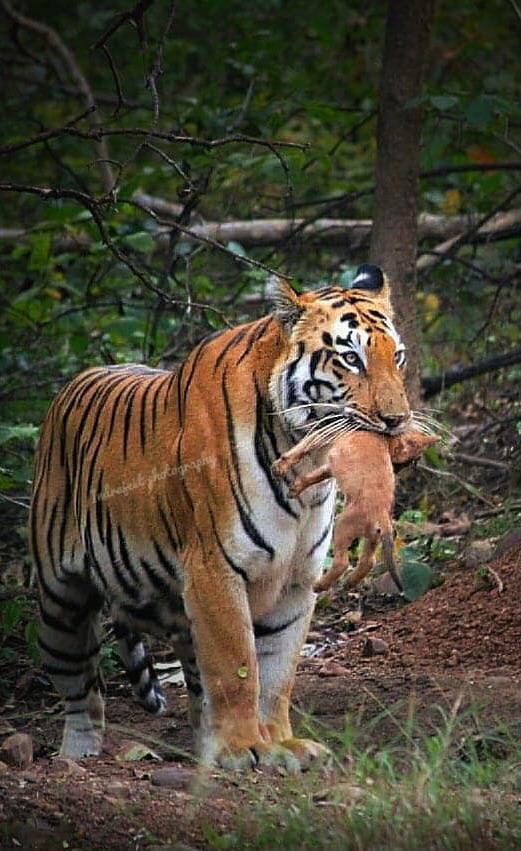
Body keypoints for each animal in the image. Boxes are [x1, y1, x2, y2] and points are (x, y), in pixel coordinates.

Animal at [30, 263, 411, 771]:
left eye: (398, 357)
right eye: (351, 359)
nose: (398, 420)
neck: (305, 468)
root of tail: (72, 384)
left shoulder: (296, 581)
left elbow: (276, 675)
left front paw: (281, 743)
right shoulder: (216, 570)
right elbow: (237, 665)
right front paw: (246, 747)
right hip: (60, 602)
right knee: (81, 695)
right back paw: (80, 754)